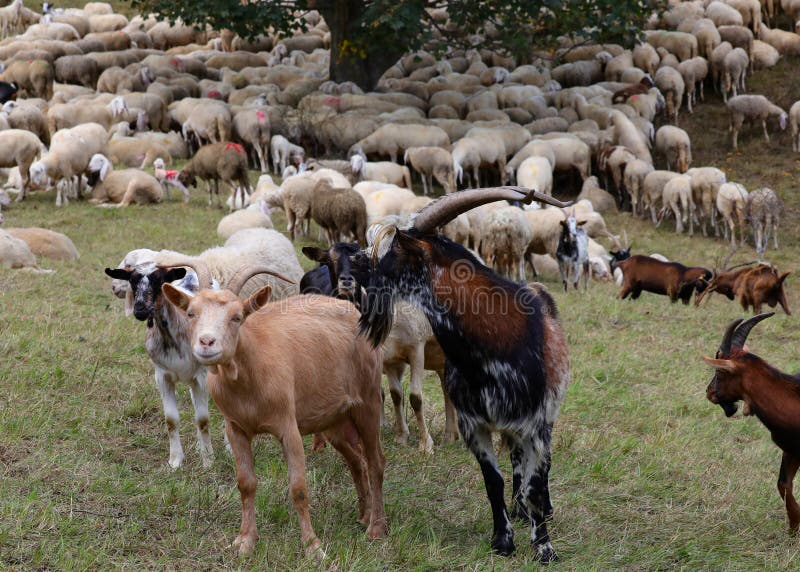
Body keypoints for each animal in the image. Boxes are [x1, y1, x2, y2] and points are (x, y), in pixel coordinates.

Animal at [161, 262, 387, 557]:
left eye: (237, 317)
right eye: (191, 313)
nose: (207, 343)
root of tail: (352, 309)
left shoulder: (288, 427)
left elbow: (298, 488)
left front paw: (313, 547)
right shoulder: (235, 428)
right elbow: (246, 484)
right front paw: (245, 541)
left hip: (368, 400)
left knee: (375, 461)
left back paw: (376, 528)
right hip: (334, 418)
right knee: (356, 461)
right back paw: (364, 514)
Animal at [358, 186, 573, 560]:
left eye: (389, 257)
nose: (356, 276)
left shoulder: (534, 422)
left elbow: (536, 482)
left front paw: (544, 548)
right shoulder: (475, 424)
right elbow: (493, 482)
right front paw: (503, 541)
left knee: (538, 470)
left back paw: (541, 510)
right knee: (515, 460)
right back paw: (518, 509)